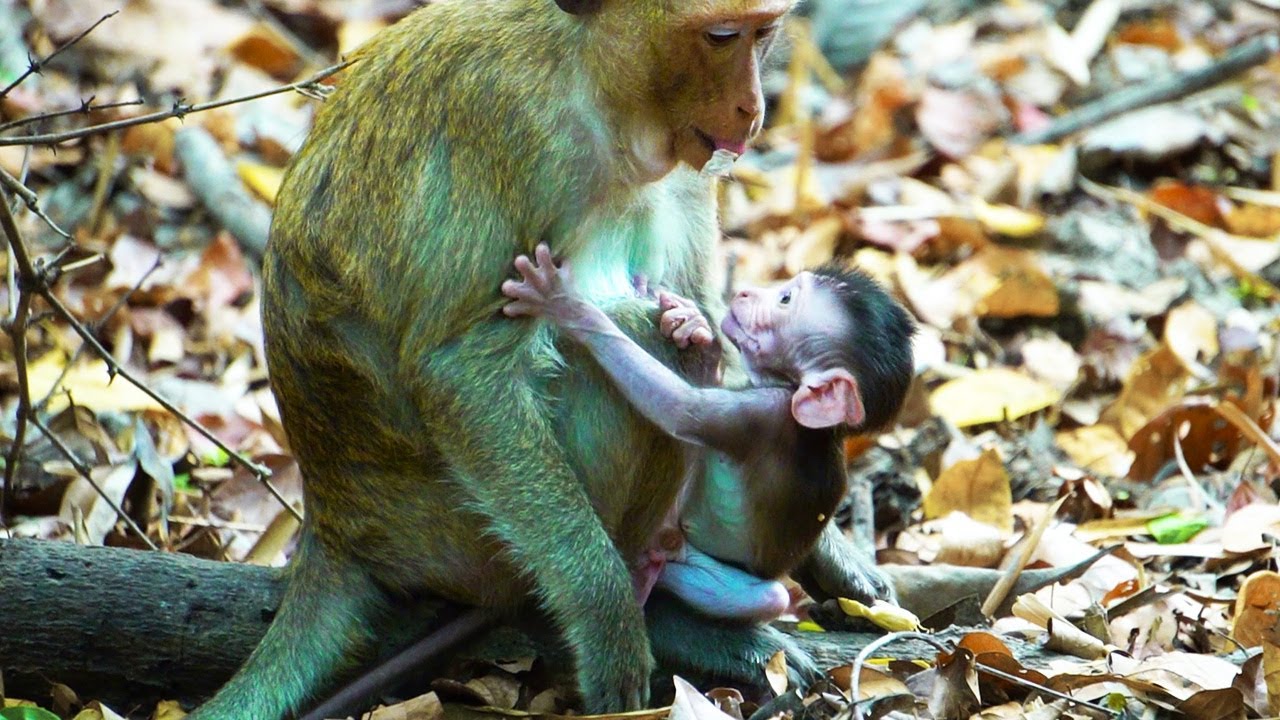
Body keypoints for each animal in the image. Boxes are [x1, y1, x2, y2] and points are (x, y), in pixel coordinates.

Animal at [502, 244, 915, 623]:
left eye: (785, 299)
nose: (745, 293)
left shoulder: (760, 415)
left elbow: (679, 409)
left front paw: (566, 304)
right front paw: (693, 328)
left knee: (768, 598)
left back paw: (646, 578)